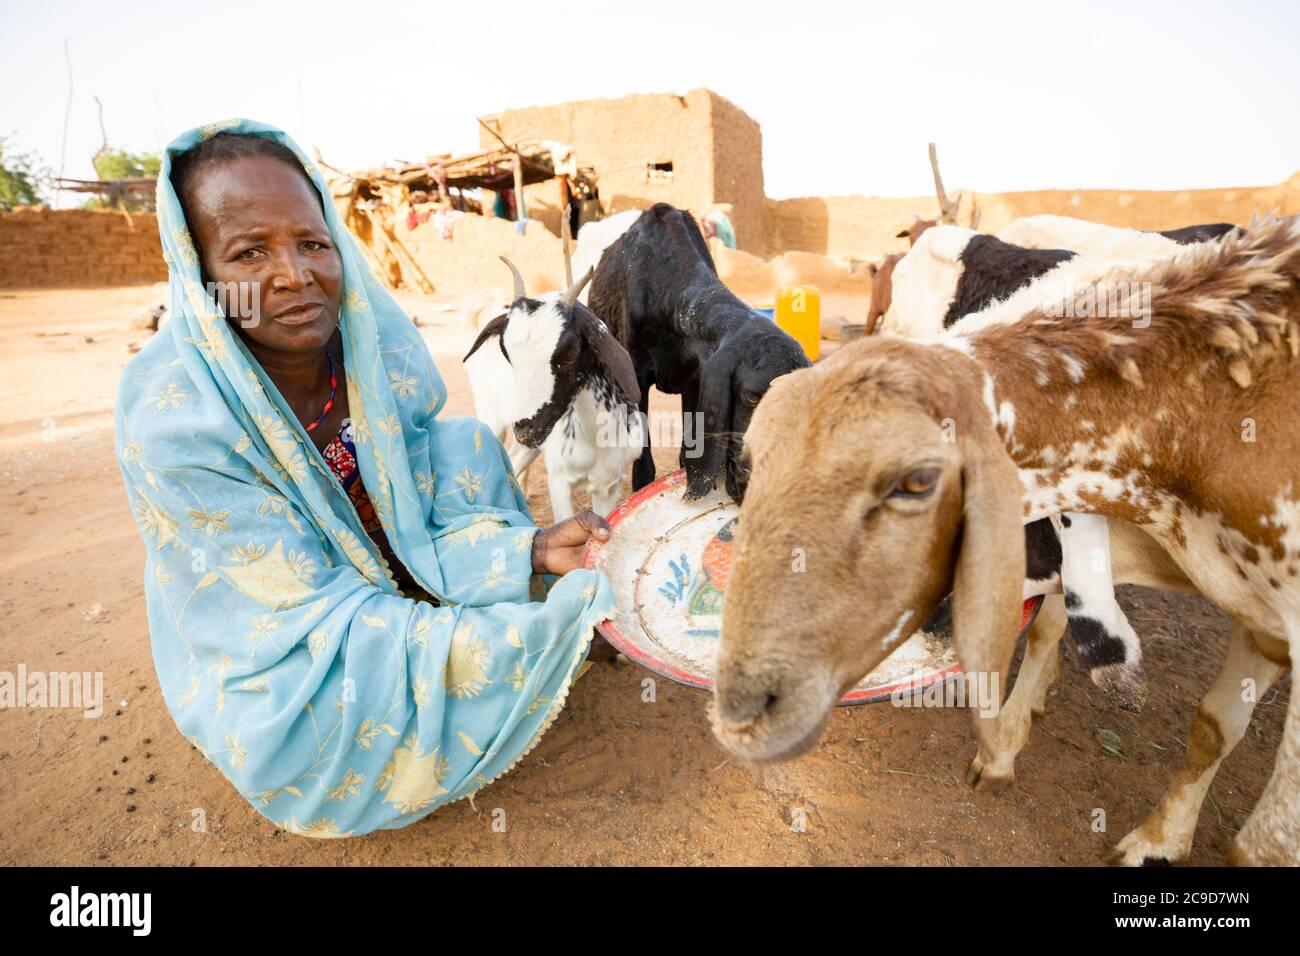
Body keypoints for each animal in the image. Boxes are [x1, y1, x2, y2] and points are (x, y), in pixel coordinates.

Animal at [463, 258, 644, 520]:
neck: (595, 441)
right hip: (492, 418)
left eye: (568, 354)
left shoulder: (608, 486)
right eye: (507, 354)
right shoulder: (559, 481)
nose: (524, 428)